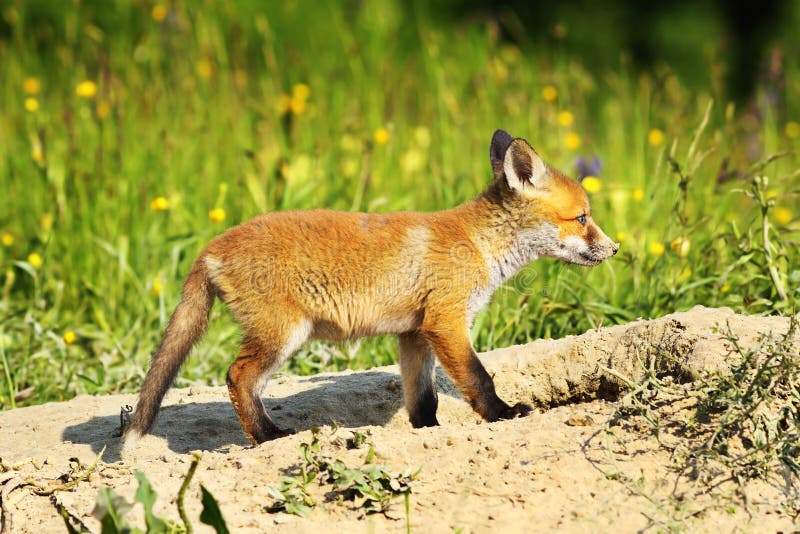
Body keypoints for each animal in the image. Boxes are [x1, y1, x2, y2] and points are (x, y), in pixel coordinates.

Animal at [122, 129, 619, 450]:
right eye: (582, 218)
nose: (614, 248)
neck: (478, 243)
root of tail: (211, 246)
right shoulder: (447, 322)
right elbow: (479, 378)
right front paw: (502, 414)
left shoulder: (416, 334)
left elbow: (422, 398)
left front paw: (428, 432)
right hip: (282, 335)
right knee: (237, 376)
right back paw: (267, 437)